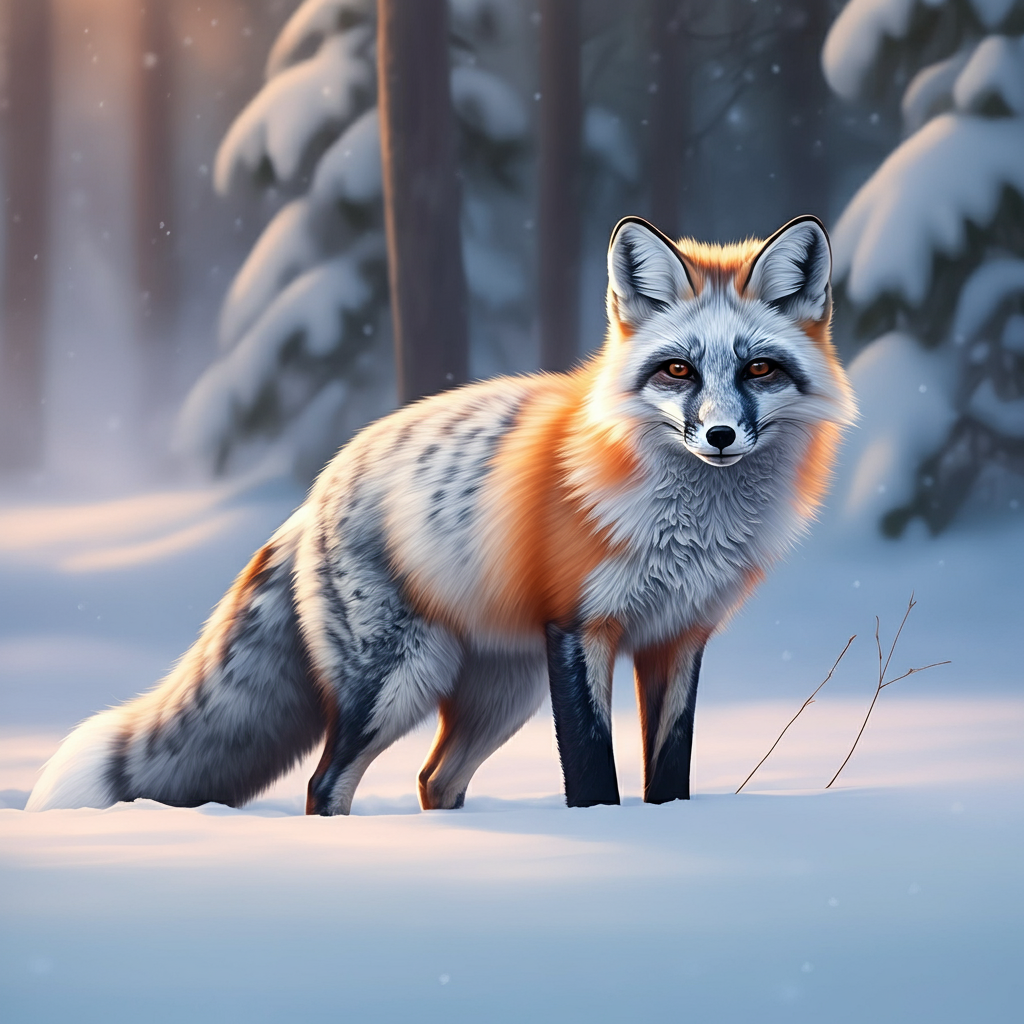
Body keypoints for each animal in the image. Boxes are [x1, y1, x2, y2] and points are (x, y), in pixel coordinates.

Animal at [28, 215, 855, 815]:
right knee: (325, 783)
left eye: (759, 369)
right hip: (399, 680)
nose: (719, 436)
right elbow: (593, 774)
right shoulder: (580, 629)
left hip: (501, 696)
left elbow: (669, 777)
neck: (687, 530)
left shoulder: (677, 637)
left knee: (434, 779)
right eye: (678, 370)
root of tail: (320, 485)